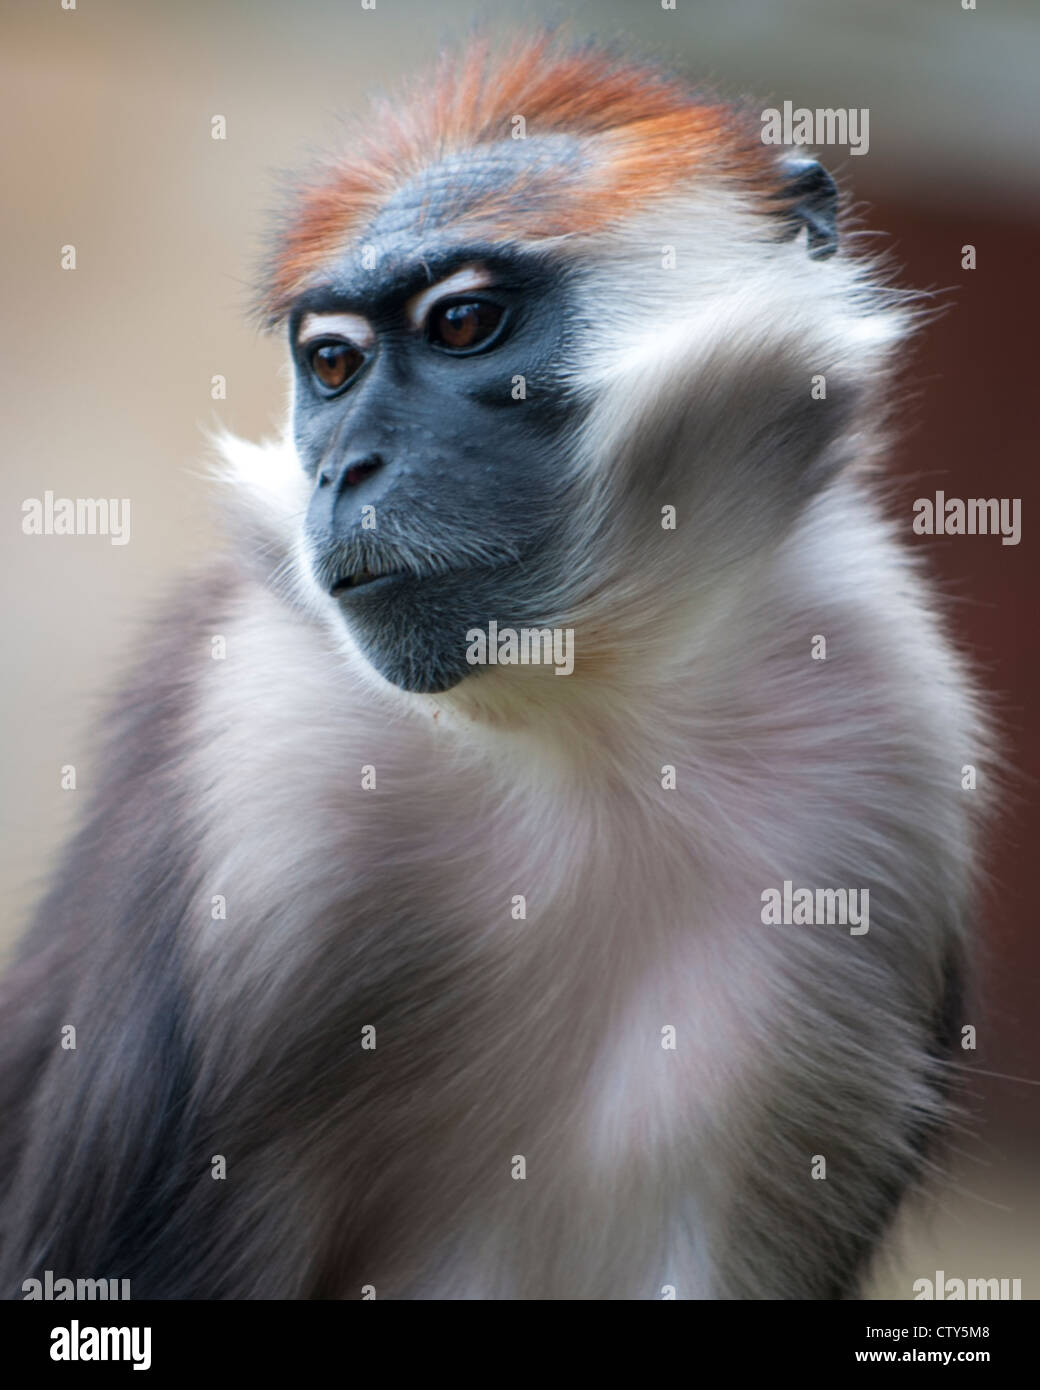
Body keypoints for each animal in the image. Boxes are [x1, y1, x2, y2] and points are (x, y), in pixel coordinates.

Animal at [0, 34, 989, 1300]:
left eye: (463, 323)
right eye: (332, 366)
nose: (346, 469)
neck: (585, 716)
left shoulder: (892, 734)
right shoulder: (260, 756)